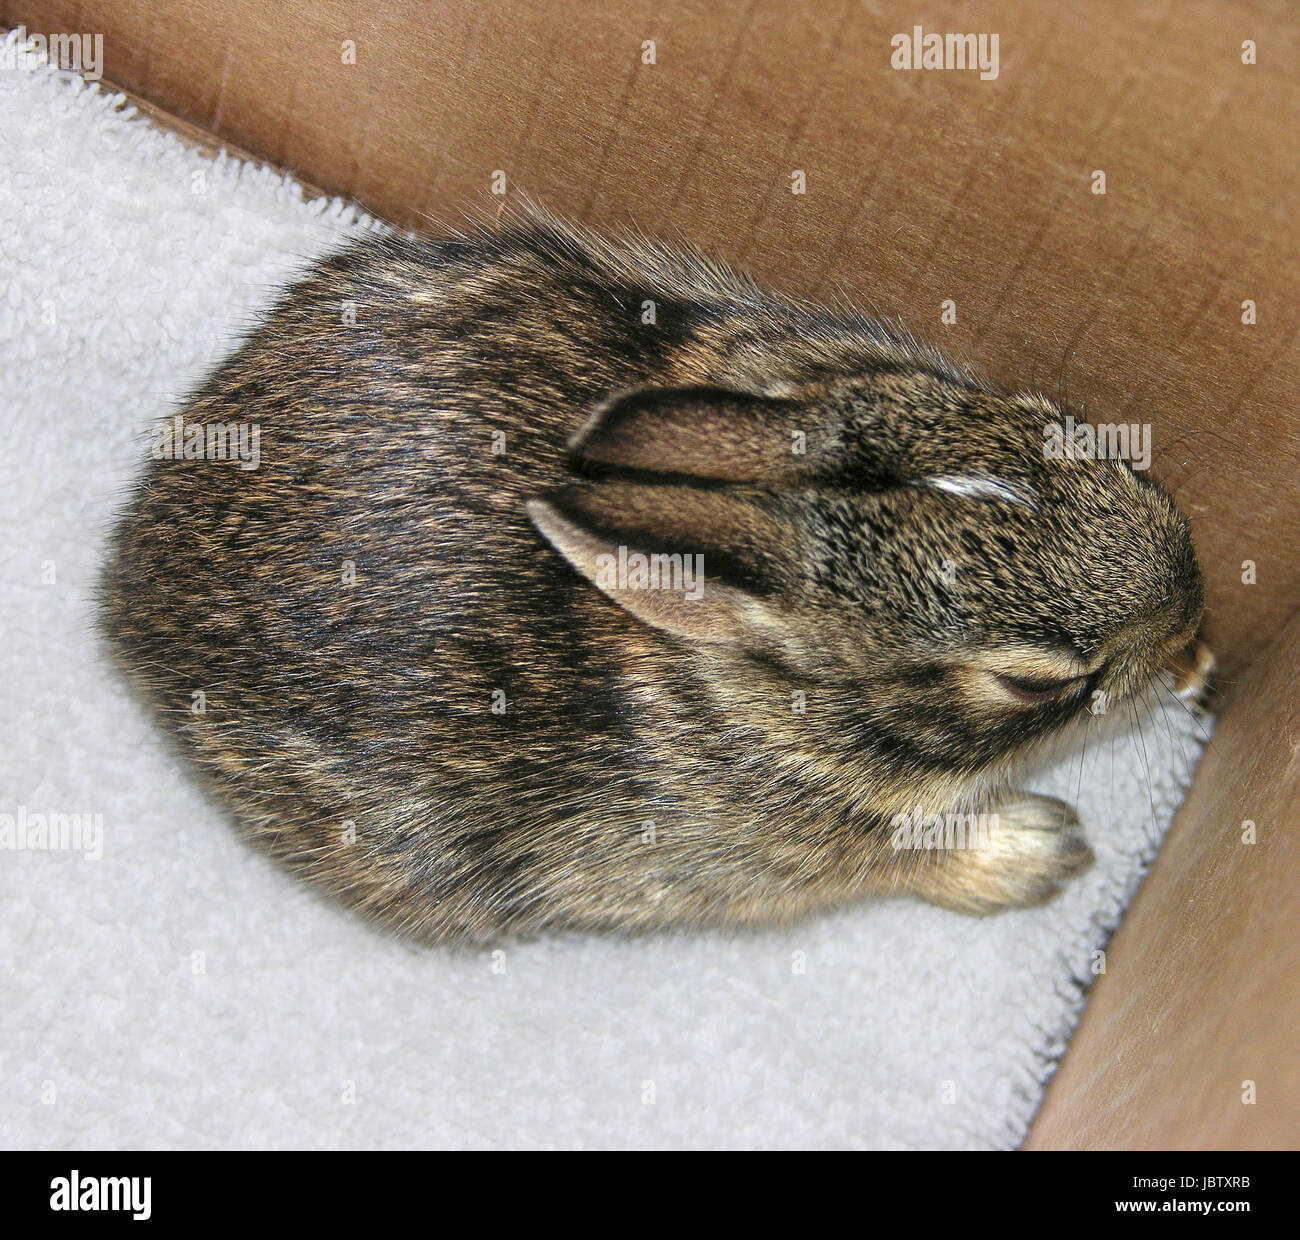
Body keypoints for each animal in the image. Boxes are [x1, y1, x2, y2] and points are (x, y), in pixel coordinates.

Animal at [100, 202, 1206, 942]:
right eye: (1029, 682)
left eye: (1061, 424)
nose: (1196, 638)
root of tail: (123, 581)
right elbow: (912, 856)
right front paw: (1047, 854)